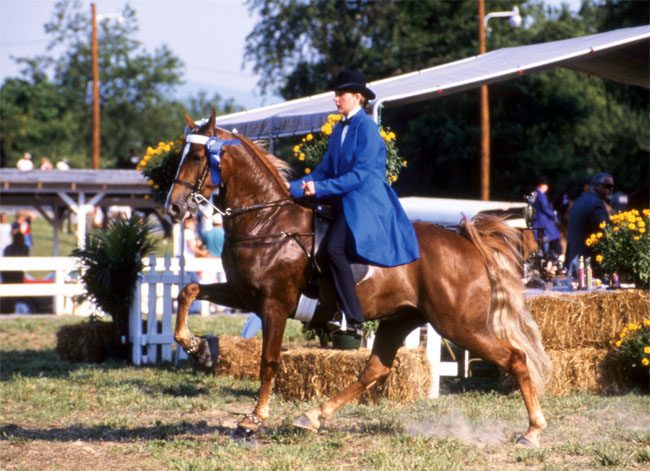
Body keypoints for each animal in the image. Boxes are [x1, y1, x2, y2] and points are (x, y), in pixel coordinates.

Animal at [165, 110, 551, 447]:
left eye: (197, 156)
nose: (173, 207)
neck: (267, 222)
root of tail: (468, 245)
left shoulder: (273, 305)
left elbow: (269, 362)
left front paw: (252, 420)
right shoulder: (243, 295)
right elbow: (189, 290)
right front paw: (196, 347)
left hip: (459, 325)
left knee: (516, 358)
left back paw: (533, 432)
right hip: (401, 320)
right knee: (375, 370)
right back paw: (313, 416)